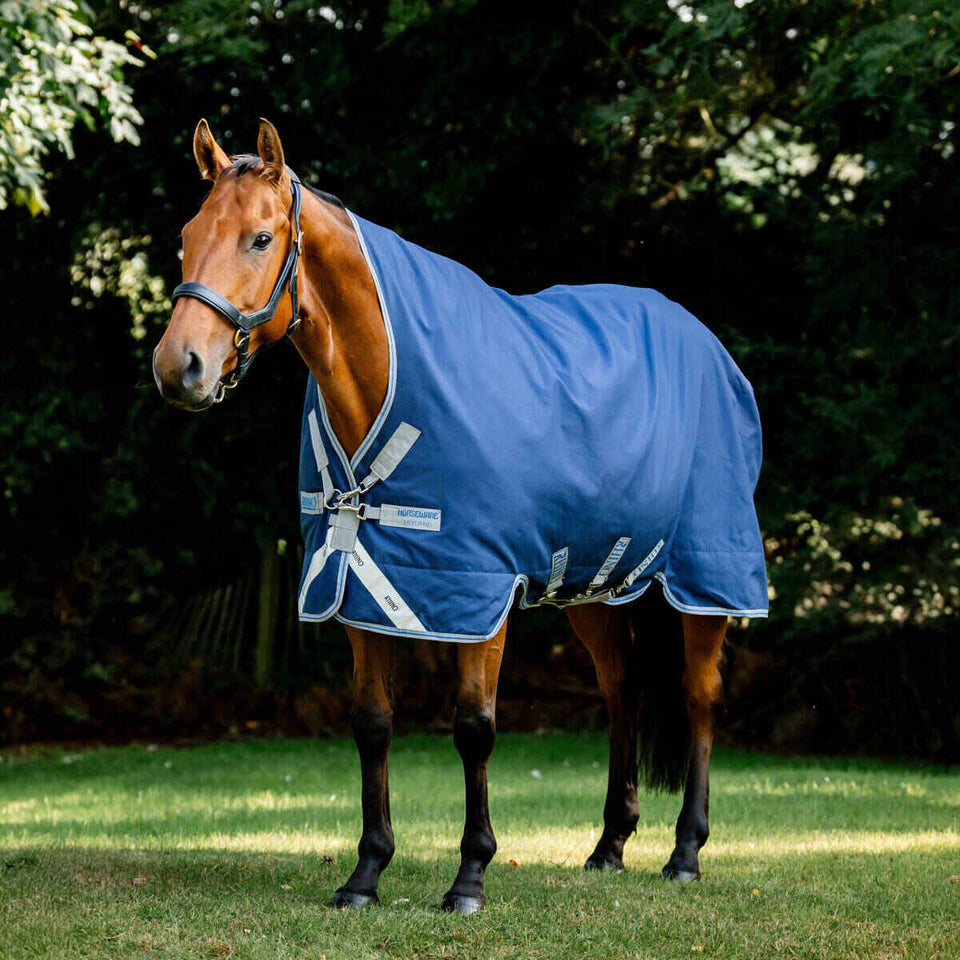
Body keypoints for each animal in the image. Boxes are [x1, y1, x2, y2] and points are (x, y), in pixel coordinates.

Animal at [154, 119, 768, 914]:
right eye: (187, 235)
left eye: (260, 238)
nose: (179, 367)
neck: (389, 373)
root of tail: (707, 342)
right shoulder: (359, 583)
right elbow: (372, 725)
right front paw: (366, 874)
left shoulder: (480, 591)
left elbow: (475, 728)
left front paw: (470, 875)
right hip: (596, 587)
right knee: (622, 689)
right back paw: (609, 845)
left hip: (706, 576)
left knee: (698, 697)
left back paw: (686, 851)